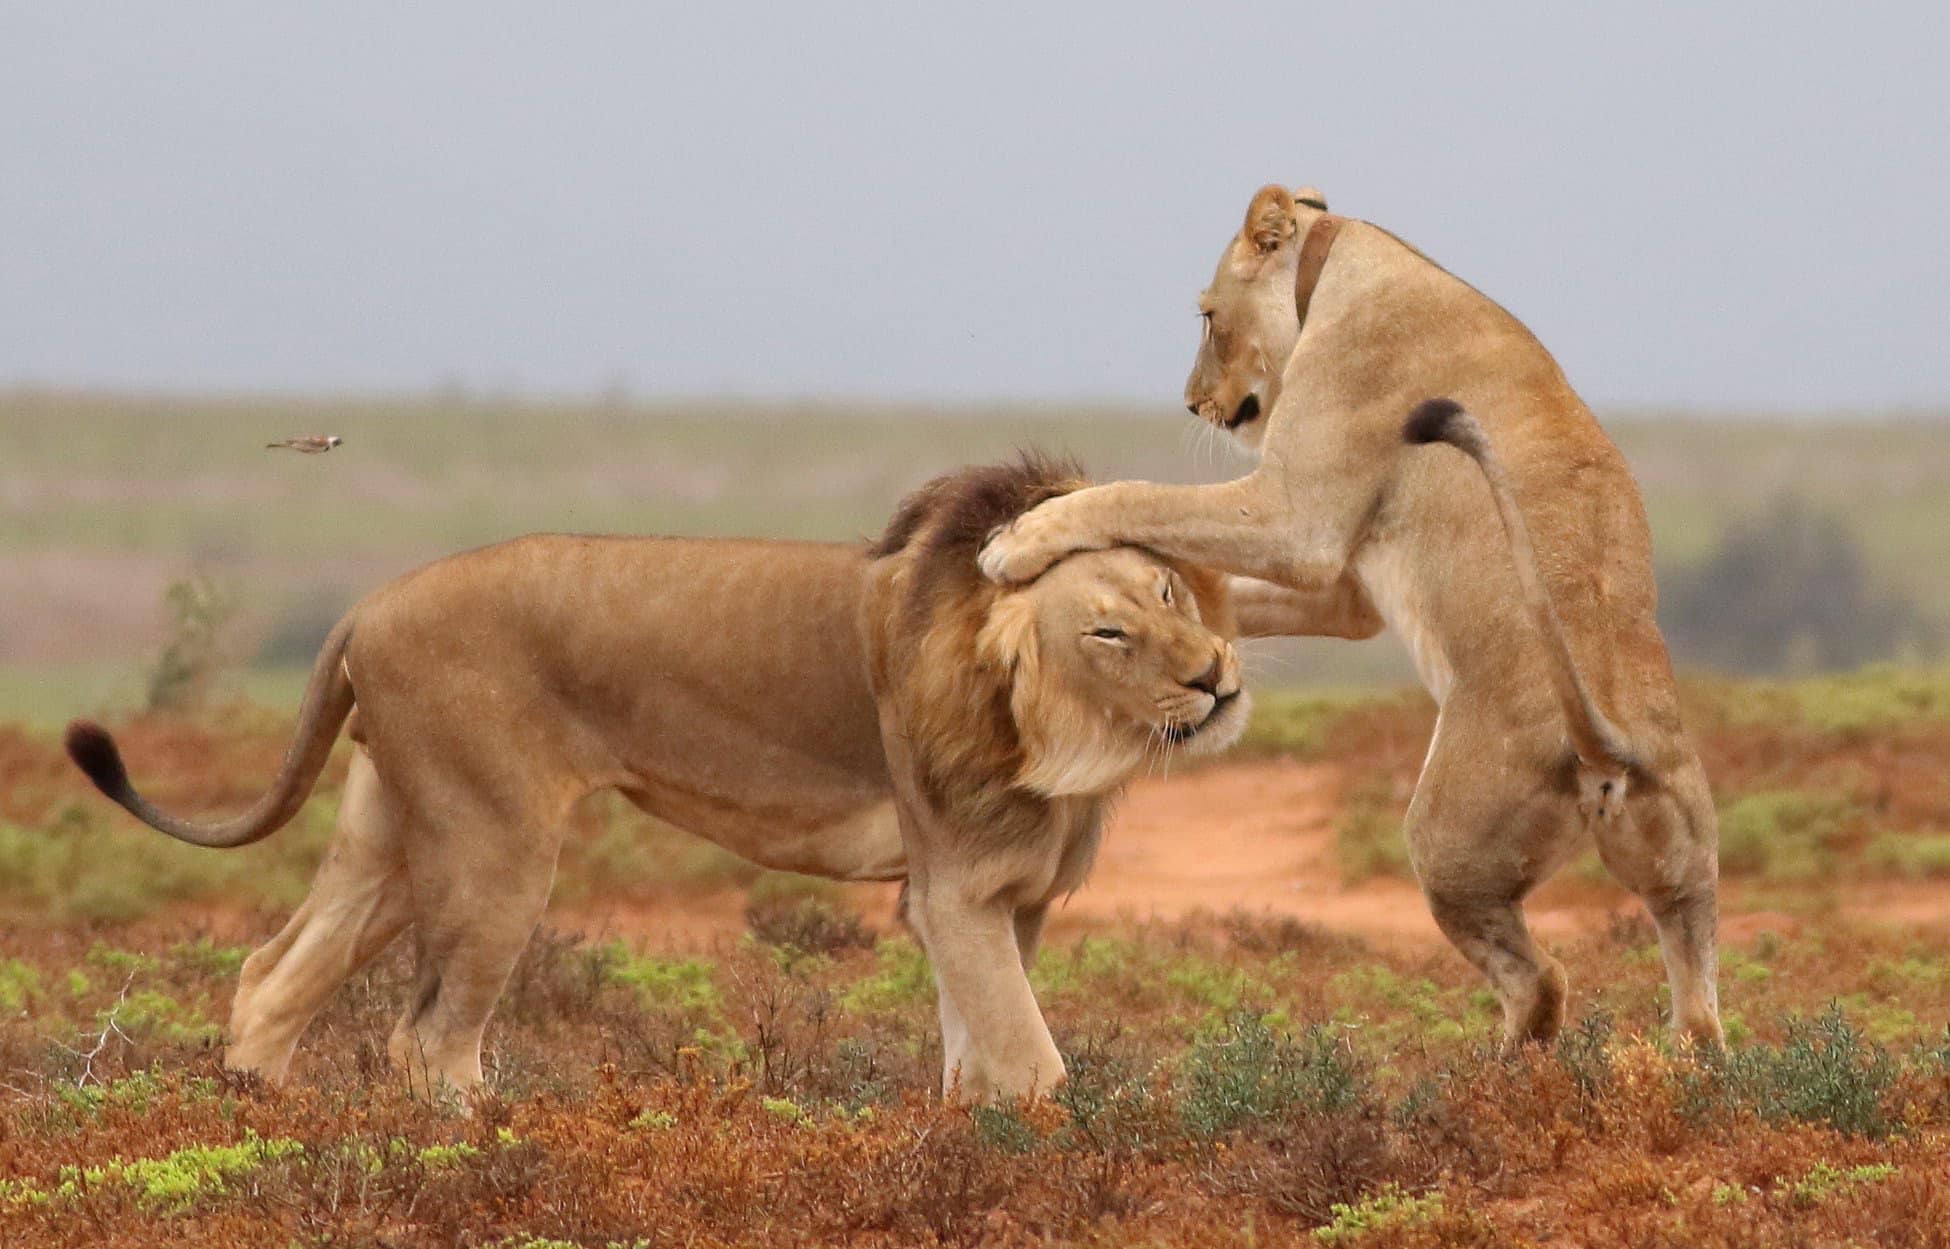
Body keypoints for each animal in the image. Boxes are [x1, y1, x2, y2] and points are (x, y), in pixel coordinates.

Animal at [65, 457, 1276, 1101]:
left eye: (1169, 591)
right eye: (1109, 631)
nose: (1215, 676)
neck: (1069, 736)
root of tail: (370, 602)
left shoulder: (1008, 902)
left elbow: (976, 1053)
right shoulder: (956, 891)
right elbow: (1031, 1060)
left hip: (395, 835)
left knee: (273, 975)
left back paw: (265, 1129)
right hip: (494, 842)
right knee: (430, 1037)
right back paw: (486, 1148)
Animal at [981, 187, 1722, 1049]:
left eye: (1208, 316)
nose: (1193, 401)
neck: (1341, 266)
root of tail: (1607, 752)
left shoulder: (1296, 517)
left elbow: (1141, 496)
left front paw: (1020, 541)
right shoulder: (1345, 588)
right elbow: (1213, 578)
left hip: (1445, 842)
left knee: (1542, 980)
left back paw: (1488, 1073)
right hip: (1684, 861)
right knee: (1695, 998)